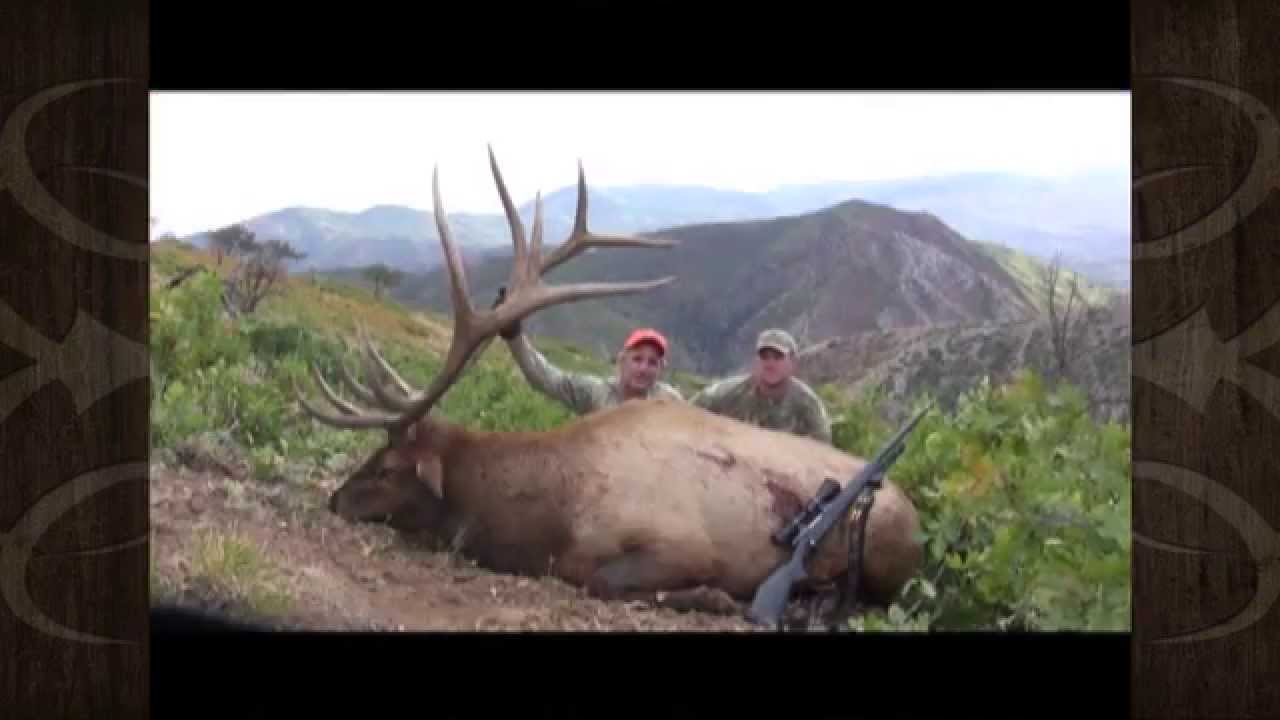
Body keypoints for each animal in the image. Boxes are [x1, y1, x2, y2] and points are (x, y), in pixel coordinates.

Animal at [293, 148, 924, 620]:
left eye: (386, 468)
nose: (335, 497)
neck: (545, 512)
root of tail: (919, 520)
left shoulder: (676, 544)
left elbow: (602, 579)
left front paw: (716, 597)